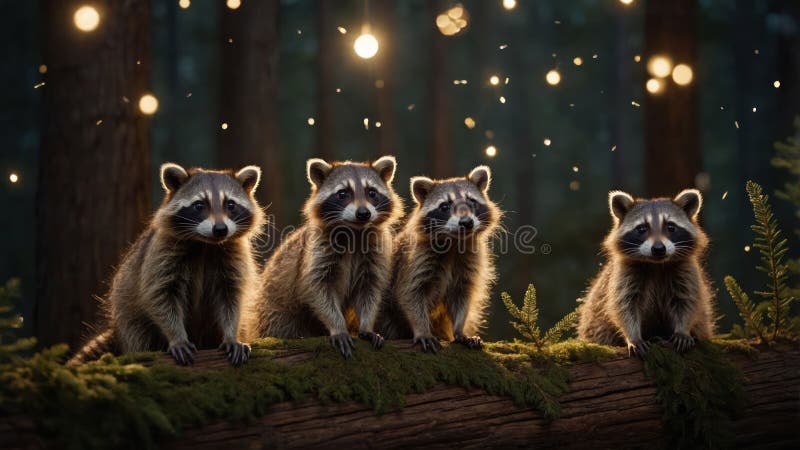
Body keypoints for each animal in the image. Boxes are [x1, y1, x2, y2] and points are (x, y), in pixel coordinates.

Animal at [69, 163, 264, 366]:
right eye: (199, 205)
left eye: (230, 205)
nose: (220, 229)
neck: (206, 244)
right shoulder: (161, 254)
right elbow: (161, 297)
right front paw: (177, 337)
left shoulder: (233, 257)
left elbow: (231, 298)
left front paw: (231, 335)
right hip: (129, 317)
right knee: (138, 335)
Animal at [248, 156, 402, 358]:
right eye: (343, 193)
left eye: (372, 192)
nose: (363, 214)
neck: (355, 231)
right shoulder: (318, 251)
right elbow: (317, 289)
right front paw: (338, 327)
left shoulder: (375, 254)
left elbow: (370, 290)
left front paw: (366, 326)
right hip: (276, 311)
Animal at [377, 166, 501, 352]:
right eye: (445, 206)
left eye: (471, 202)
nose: (466, 222)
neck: (454, 242)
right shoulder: (416, 259)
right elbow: (409, 293)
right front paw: (422, 330)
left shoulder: (468, 261)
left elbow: (462, 295)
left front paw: (459, 330)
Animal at [577, 189, 715, 358]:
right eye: (642, 228)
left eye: (670, 227)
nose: (658, 249)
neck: (656, 265)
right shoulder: (624, 275)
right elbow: (625, 306)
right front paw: (633, 336)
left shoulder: (686, 272)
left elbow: (687, 302)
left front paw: (683, 330)